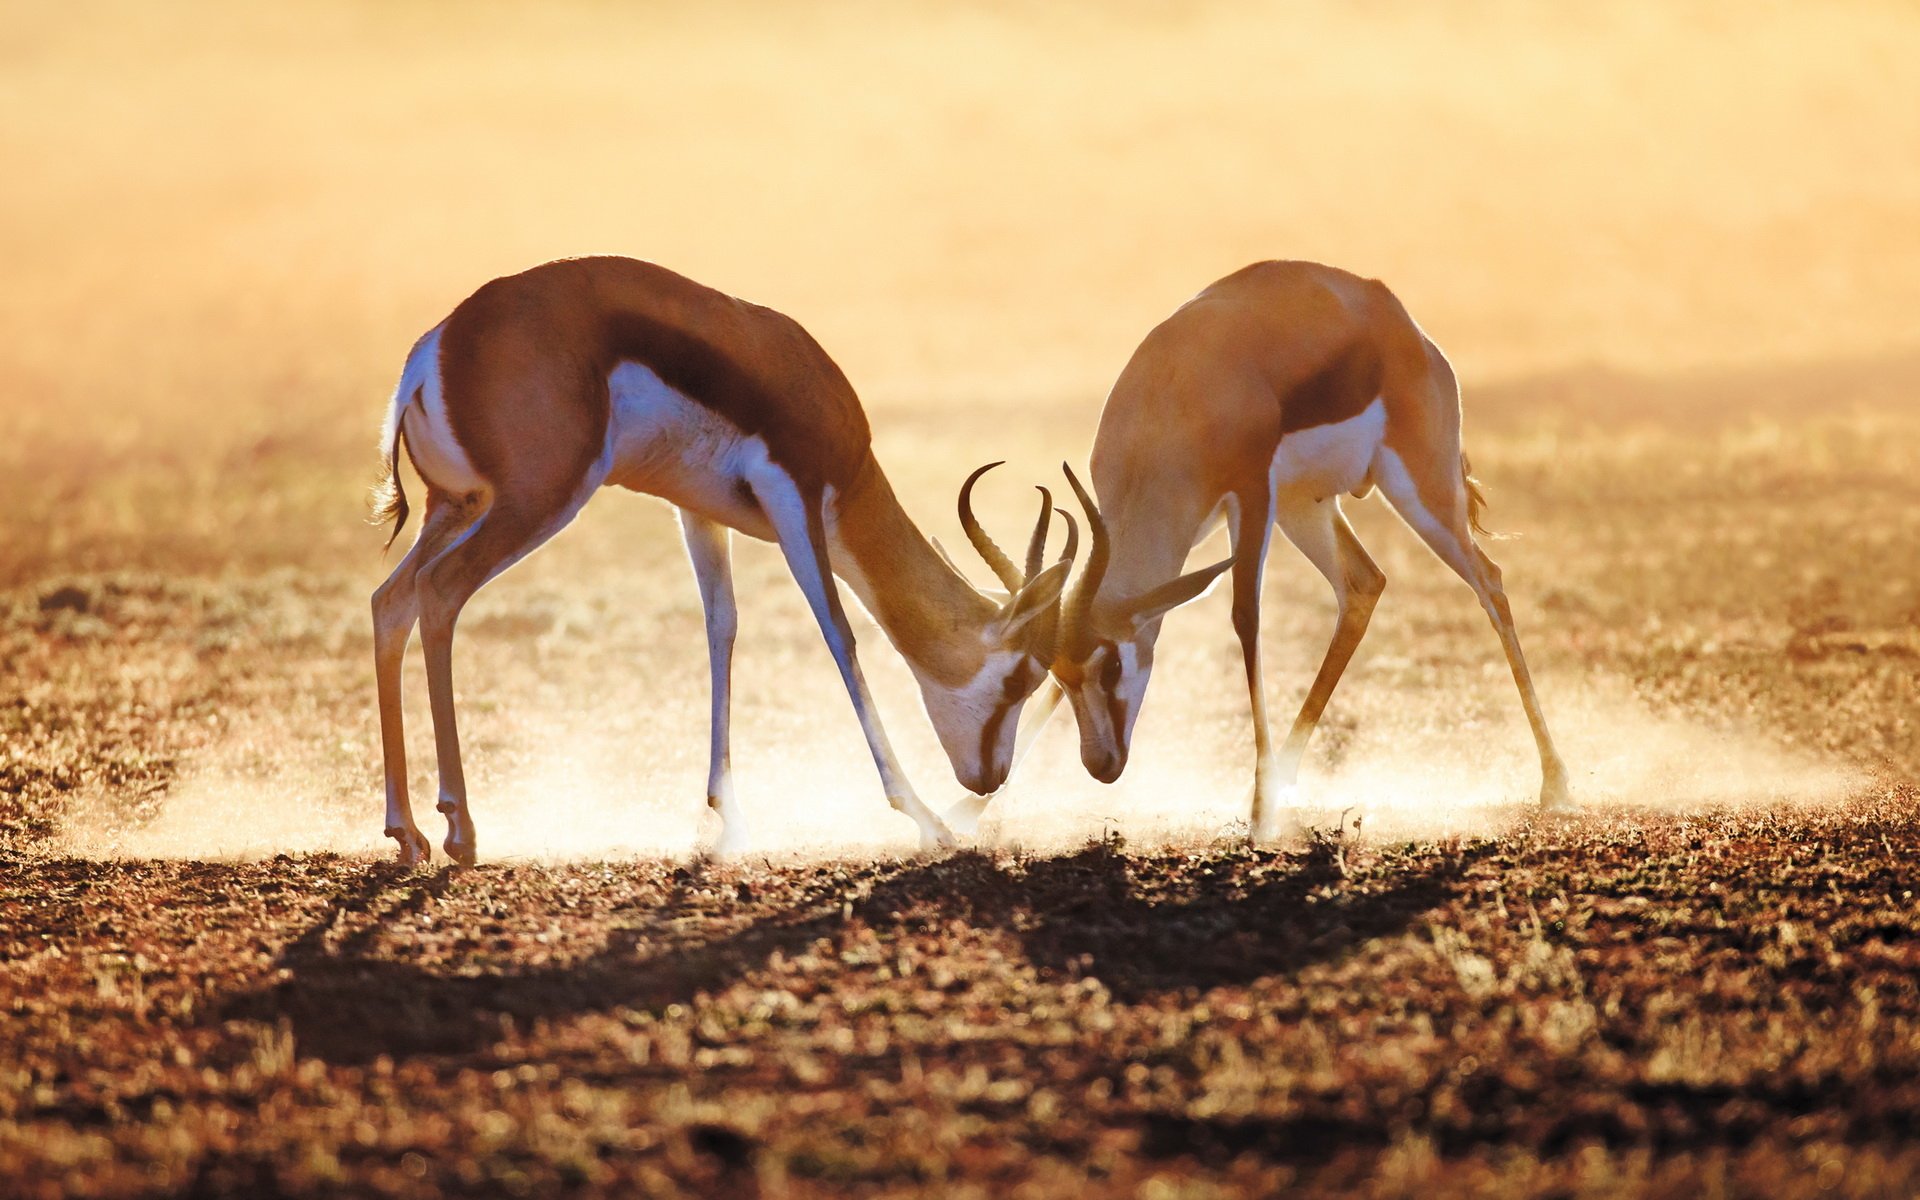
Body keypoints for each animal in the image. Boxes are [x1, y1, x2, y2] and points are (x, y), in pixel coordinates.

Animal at [369, 256, 1074, 866]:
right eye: (1022, 676)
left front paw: (727, 818)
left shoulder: (697, 511)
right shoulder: (795, 497)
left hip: (456, 507)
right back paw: (461, 830)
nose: (989, 779)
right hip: (534, 502)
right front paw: (925, 819)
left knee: (390, 601)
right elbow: (840, 637)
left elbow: (722, 626)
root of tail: (434, 352)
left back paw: (407, 833)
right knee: (439, 591)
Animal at [957, 260, 1571, 842]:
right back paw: (1286, 782)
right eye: (1058, 674)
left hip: (1418, 487)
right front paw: (963, 812)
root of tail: (1401, 324)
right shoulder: (1201, 524)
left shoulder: (1250, 496)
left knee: (1489, 581)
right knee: (1364, 583)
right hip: (1307, 505)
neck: (1174, 390)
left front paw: (1256, 812)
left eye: (1110, 665)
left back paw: (1556, 784)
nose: (1101, 765)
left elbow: (1245, 619)